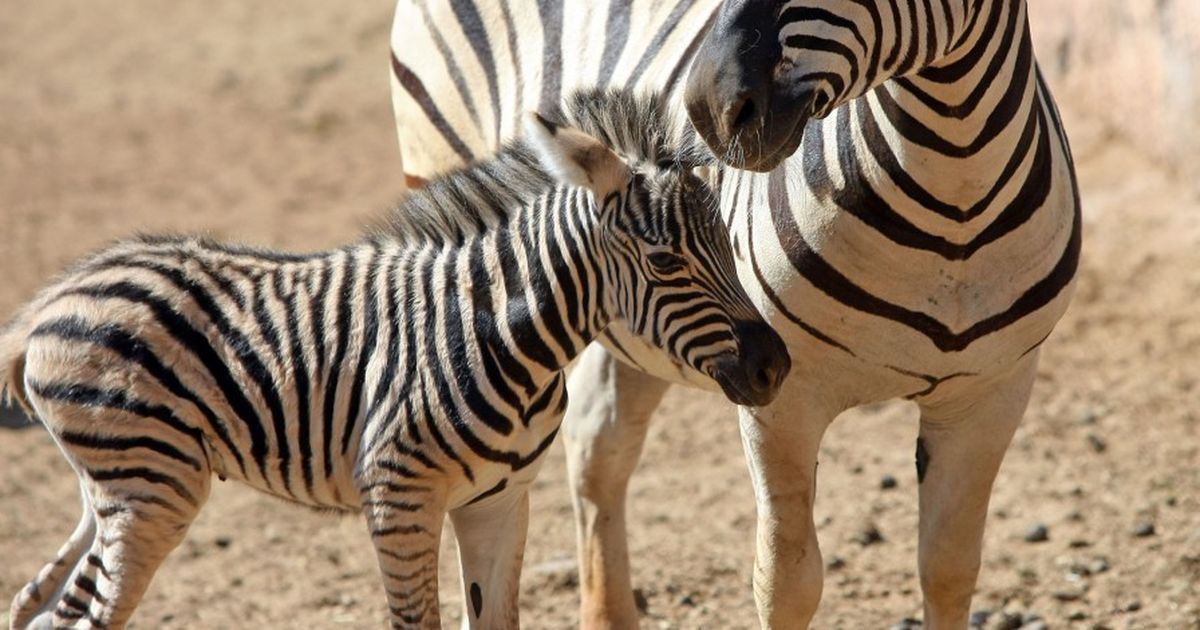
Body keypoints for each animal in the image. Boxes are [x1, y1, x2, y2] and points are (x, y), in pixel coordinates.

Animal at [1, 89, 789, 630]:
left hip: (113, 488)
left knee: (37, 605)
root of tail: (50, 301)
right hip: (152, 492)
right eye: (664, 261)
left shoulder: (500, 501)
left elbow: (495, 619)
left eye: (727, 241)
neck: (503, 337)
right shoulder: (398, 498)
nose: (774, 368)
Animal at [390, 0, 1079, 627]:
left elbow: (948, 569)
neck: (953, 201)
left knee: (597, 446)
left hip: (639, 315)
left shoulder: (990, 394)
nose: (701, 109)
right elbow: (788, 582)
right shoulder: (784, 397)